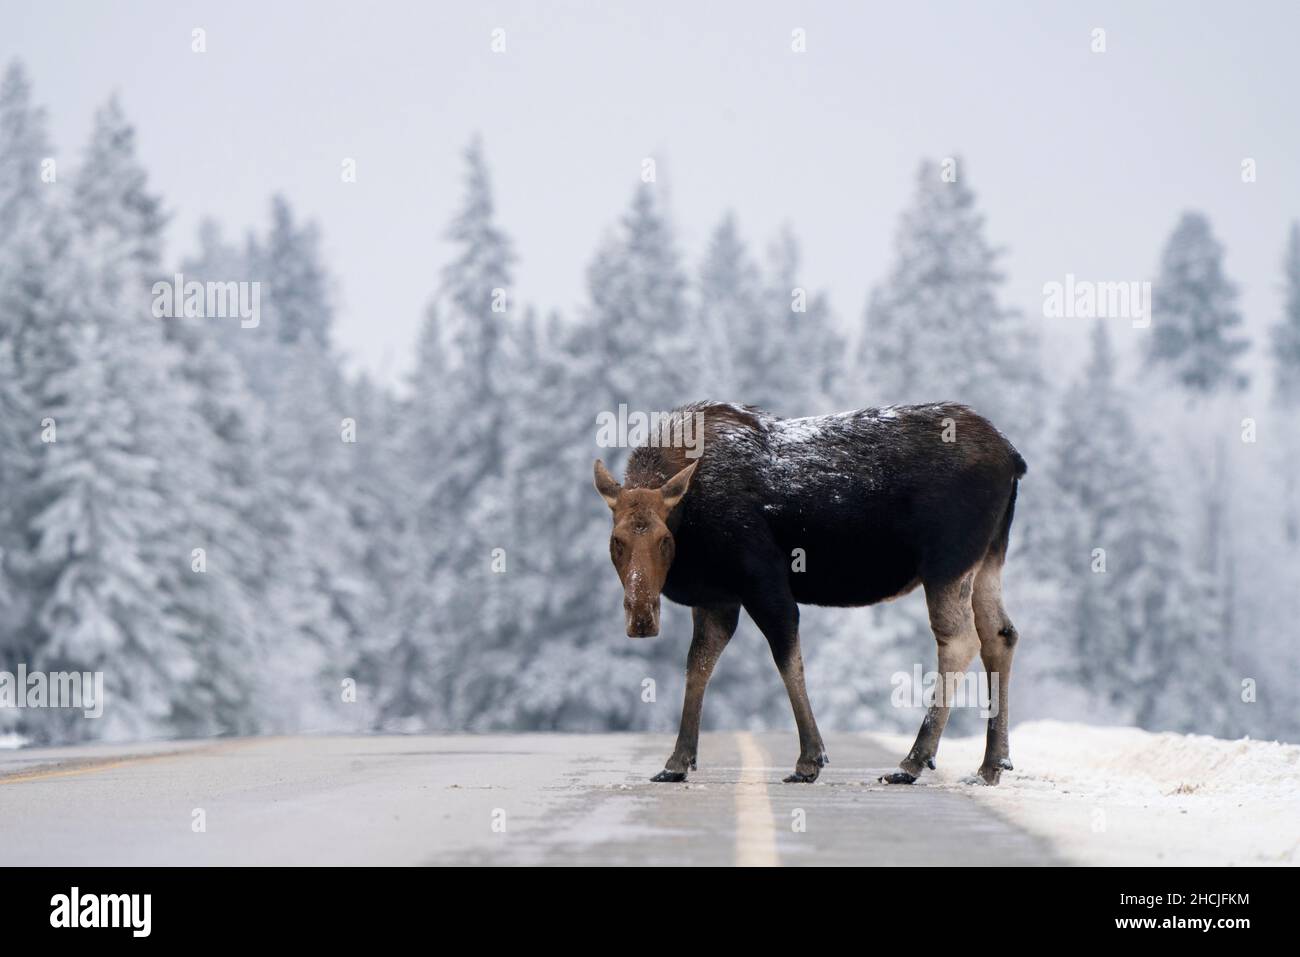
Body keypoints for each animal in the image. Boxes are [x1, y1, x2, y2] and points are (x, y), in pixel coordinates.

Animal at [593, 401, 1026, 786]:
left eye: (665, 540)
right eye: (616, 541)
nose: (641, 616)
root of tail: (1014, 458)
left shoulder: (761, 579)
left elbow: (788, 660)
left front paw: (809, 759)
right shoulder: (718, 597)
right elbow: (697, 665)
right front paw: (677, 761)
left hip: (947, 561)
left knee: (959, 641)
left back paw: (912, 763)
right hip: (989, 557)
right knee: (1000, 635)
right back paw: (992, 764)